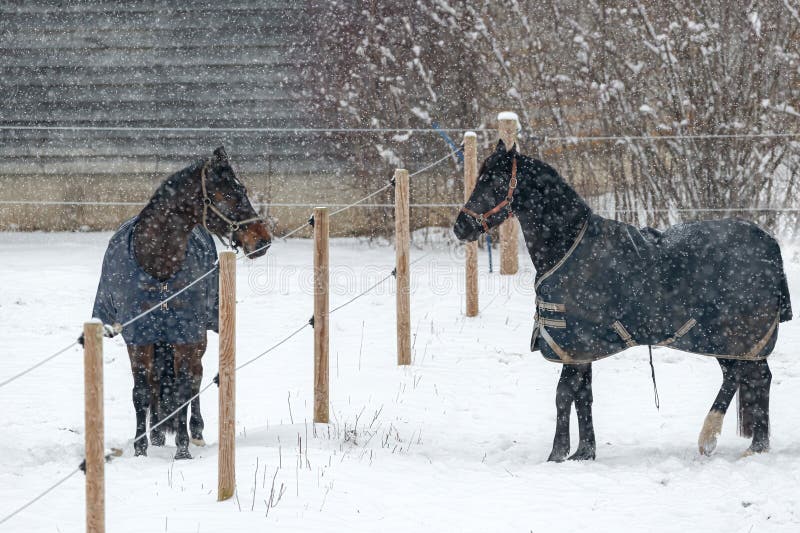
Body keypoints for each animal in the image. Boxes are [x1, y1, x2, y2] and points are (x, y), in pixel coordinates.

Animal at [92, 146, 272, 460]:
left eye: (244, 191)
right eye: (228, 194)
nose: (262, 240)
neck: (157, 264)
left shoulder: (187, 335)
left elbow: (183, 389)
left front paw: (183, 448)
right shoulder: (139, 337)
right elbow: (141, 391)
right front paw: (141, 448)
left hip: (196, 339)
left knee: (194, 380)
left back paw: (195, 431)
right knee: (158, 382)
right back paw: (157, 433)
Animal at [454, 139, 792, 461]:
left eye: (495, 182)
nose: (460, 226)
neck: (569, 245)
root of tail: (769, 242)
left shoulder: (576, 341)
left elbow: (563, 394)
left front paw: (557, 454)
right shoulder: (580, 347)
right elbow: (583, 396)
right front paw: (584, 452)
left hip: (729, 333)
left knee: (739, 376)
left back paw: (712, 438)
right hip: (734, 340)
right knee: (758, 377)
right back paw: (757, 445)